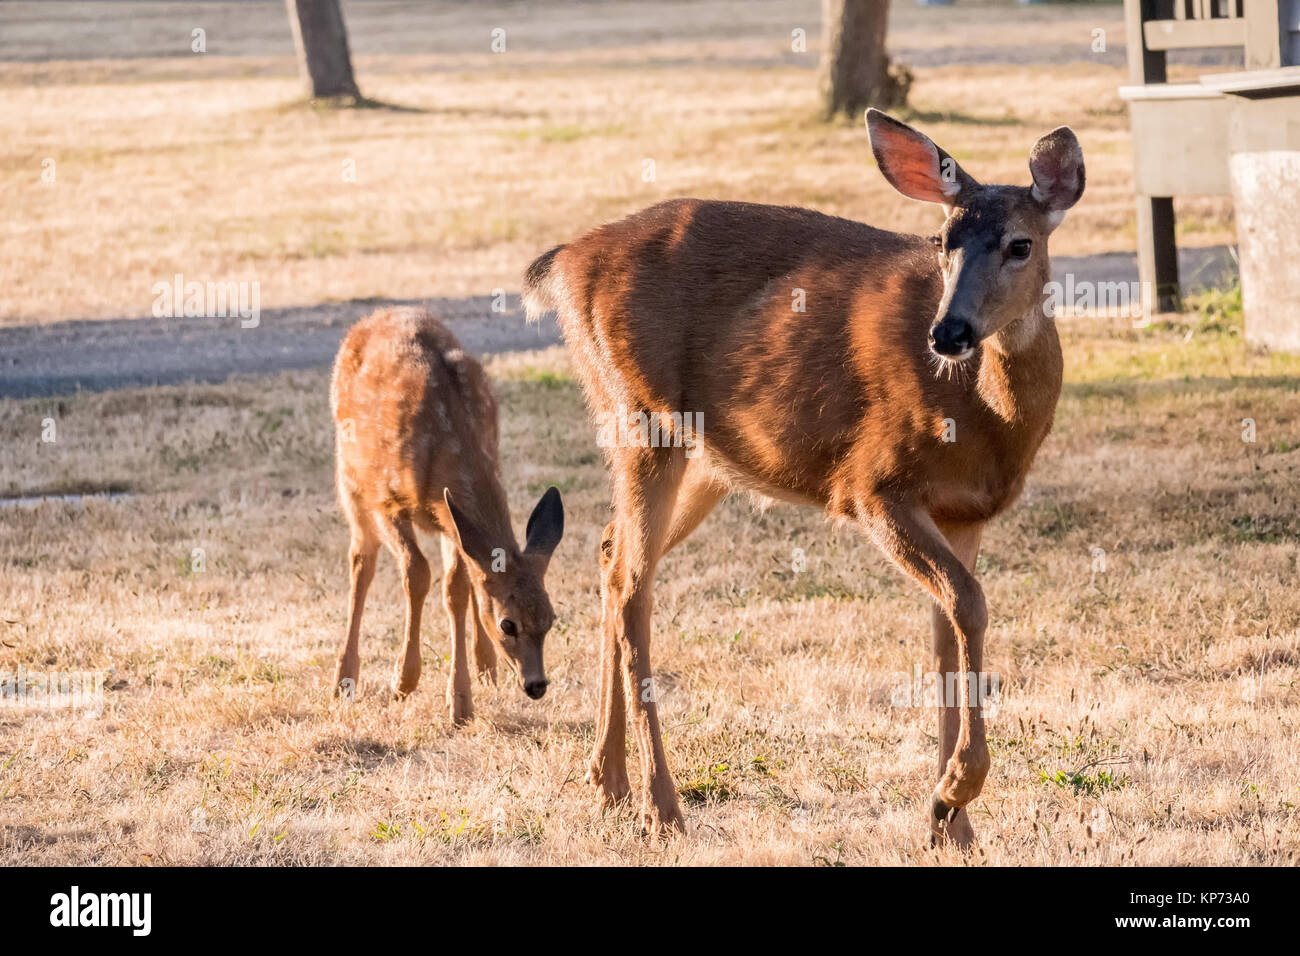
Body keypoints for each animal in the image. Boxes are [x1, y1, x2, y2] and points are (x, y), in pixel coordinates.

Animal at [329, 306, 565, 724]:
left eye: (550, 619)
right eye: (508, 623)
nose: (536, 685)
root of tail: (378, 315)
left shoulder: (450, 517)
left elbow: (457, 586)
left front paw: (461, 701)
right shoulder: (387, 500)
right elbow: (417, 573)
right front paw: (403, 681)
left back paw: (486, 667)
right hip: (351, 478)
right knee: (361, 561)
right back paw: (345, 679)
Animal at [523, 110, 1083, 845]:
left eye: (1020, 244)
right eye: (942, 241)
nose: (949, 331)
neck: (984, 415)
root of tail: (564, 261)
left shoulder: (964, 513)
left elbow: (947, 630)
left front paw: (950, 822)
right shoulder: (873, 484)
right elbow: (969, 604)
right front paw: (954, 791)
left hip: (706, 457)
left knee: (611, 551)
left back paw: (607, 779)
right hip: (642, 417)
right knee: (633, 583)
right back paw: (661, 805)